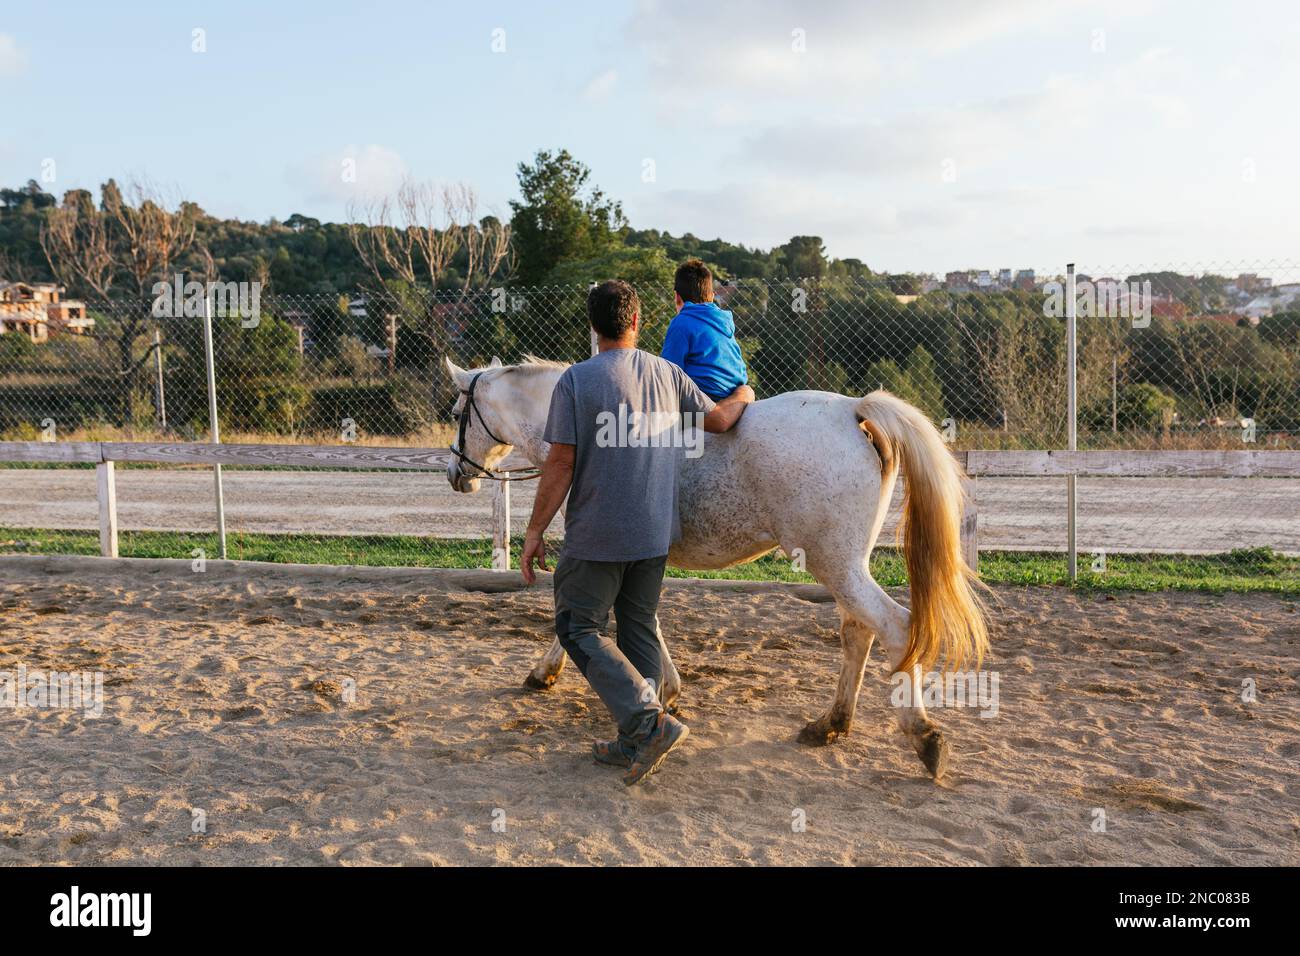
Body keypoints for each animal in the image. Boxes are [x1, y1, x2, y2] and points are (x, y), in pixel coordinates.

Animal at [442, 356, 988, 778]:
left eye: (457, 412)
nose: (455, 473)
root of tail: (852, 410)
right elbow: (642, 617)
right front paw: (663, 689)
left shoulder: (599, 548)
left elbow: (579, 615)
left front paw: (548, 673)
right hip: (847, 564)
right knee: (858, 631)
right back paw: (829, 724)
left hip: (835, 563)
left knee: (895, 627)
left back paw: (923, 737)